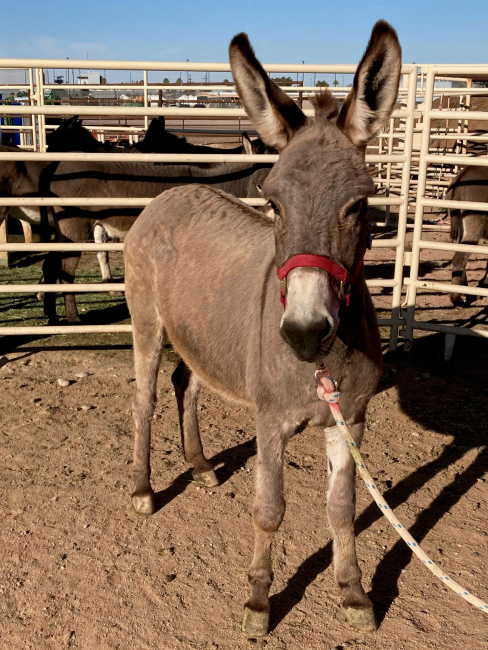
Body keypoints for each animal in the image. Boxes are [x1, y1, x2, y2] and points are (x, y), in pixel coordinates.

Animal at [124, 20, 401, 638]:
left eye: (360, 204)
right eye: (273, 205)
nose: (303, 333)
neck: (322, 364)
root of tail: (172, 191)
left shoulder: (351, 419)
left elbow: (342, 511)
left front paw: (352, 593)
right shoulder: (271, 422)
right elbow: (270, 511)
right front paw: (257, 602)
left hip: (202, 340)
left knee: (187, 385)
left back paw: (201, 466)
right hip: (147, 324)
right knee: (146, 398)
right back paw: (143, 489)